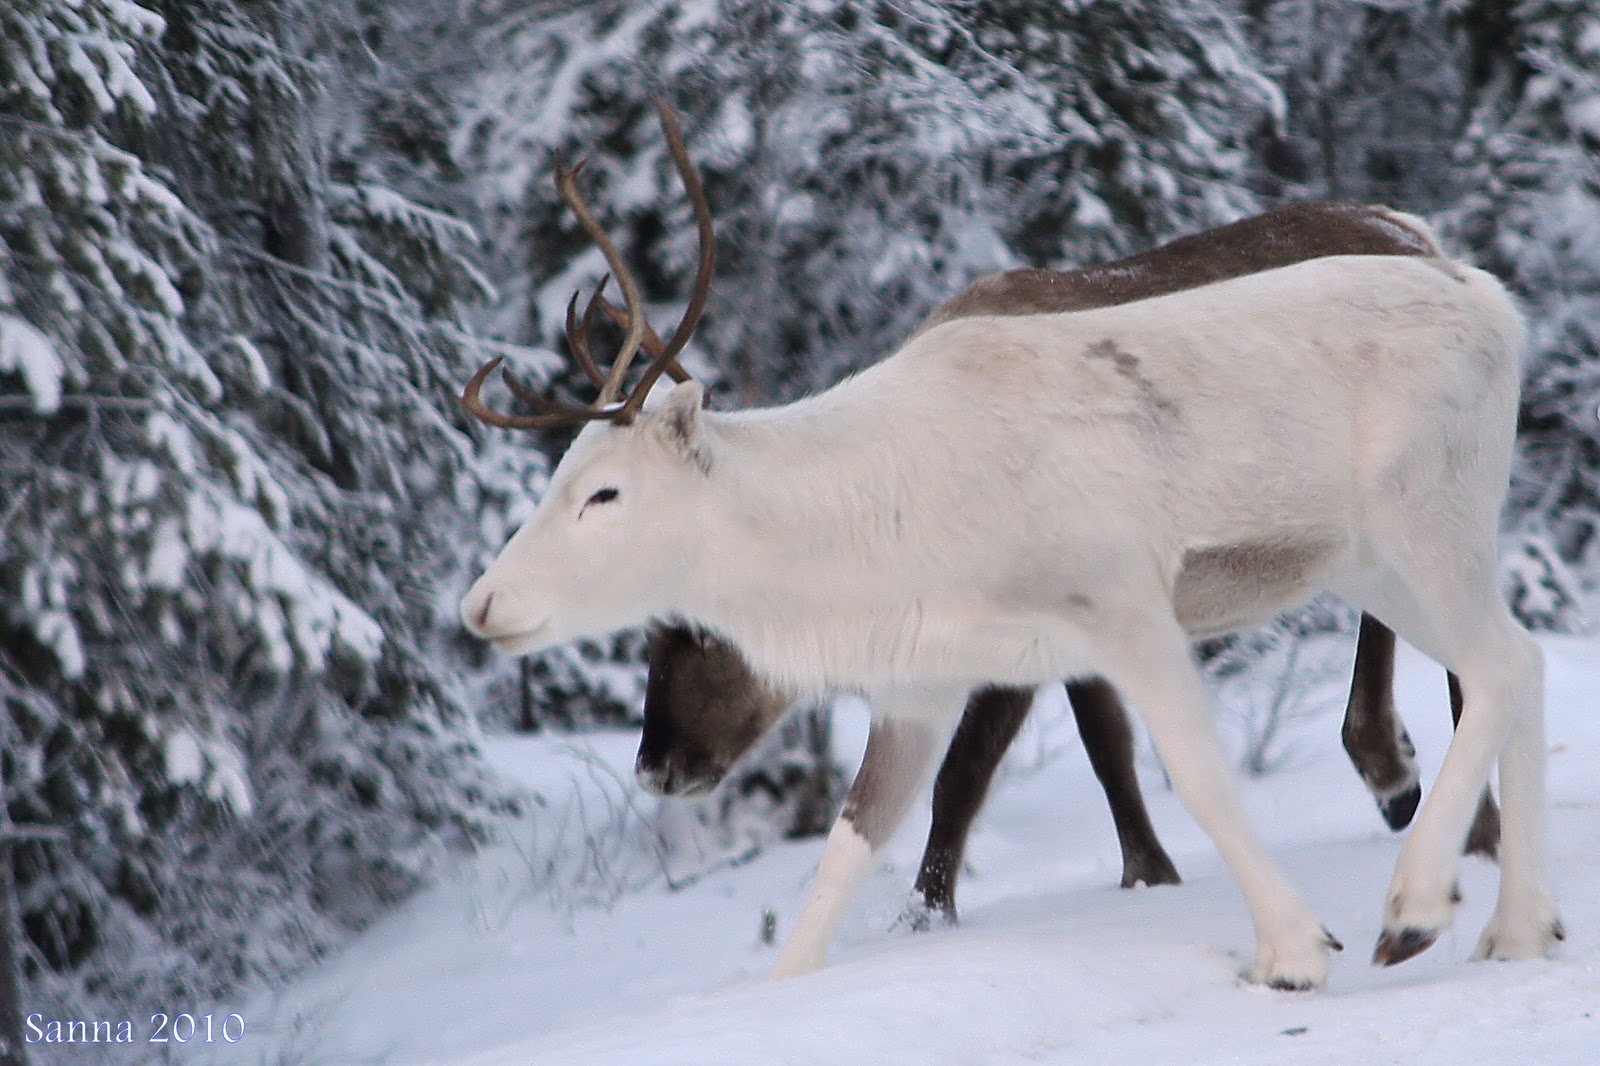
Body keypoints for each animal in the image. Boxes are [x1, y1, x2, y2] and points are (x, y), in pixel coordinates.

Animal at [634, 200, 1505, 926]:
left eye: (701, 626)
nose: (655, 766)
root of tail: (1425, 238)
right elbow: (1105, 741)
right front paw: (1149, 873)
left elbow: (964, 773)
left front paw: (926, 917)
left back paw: (1437, 802)